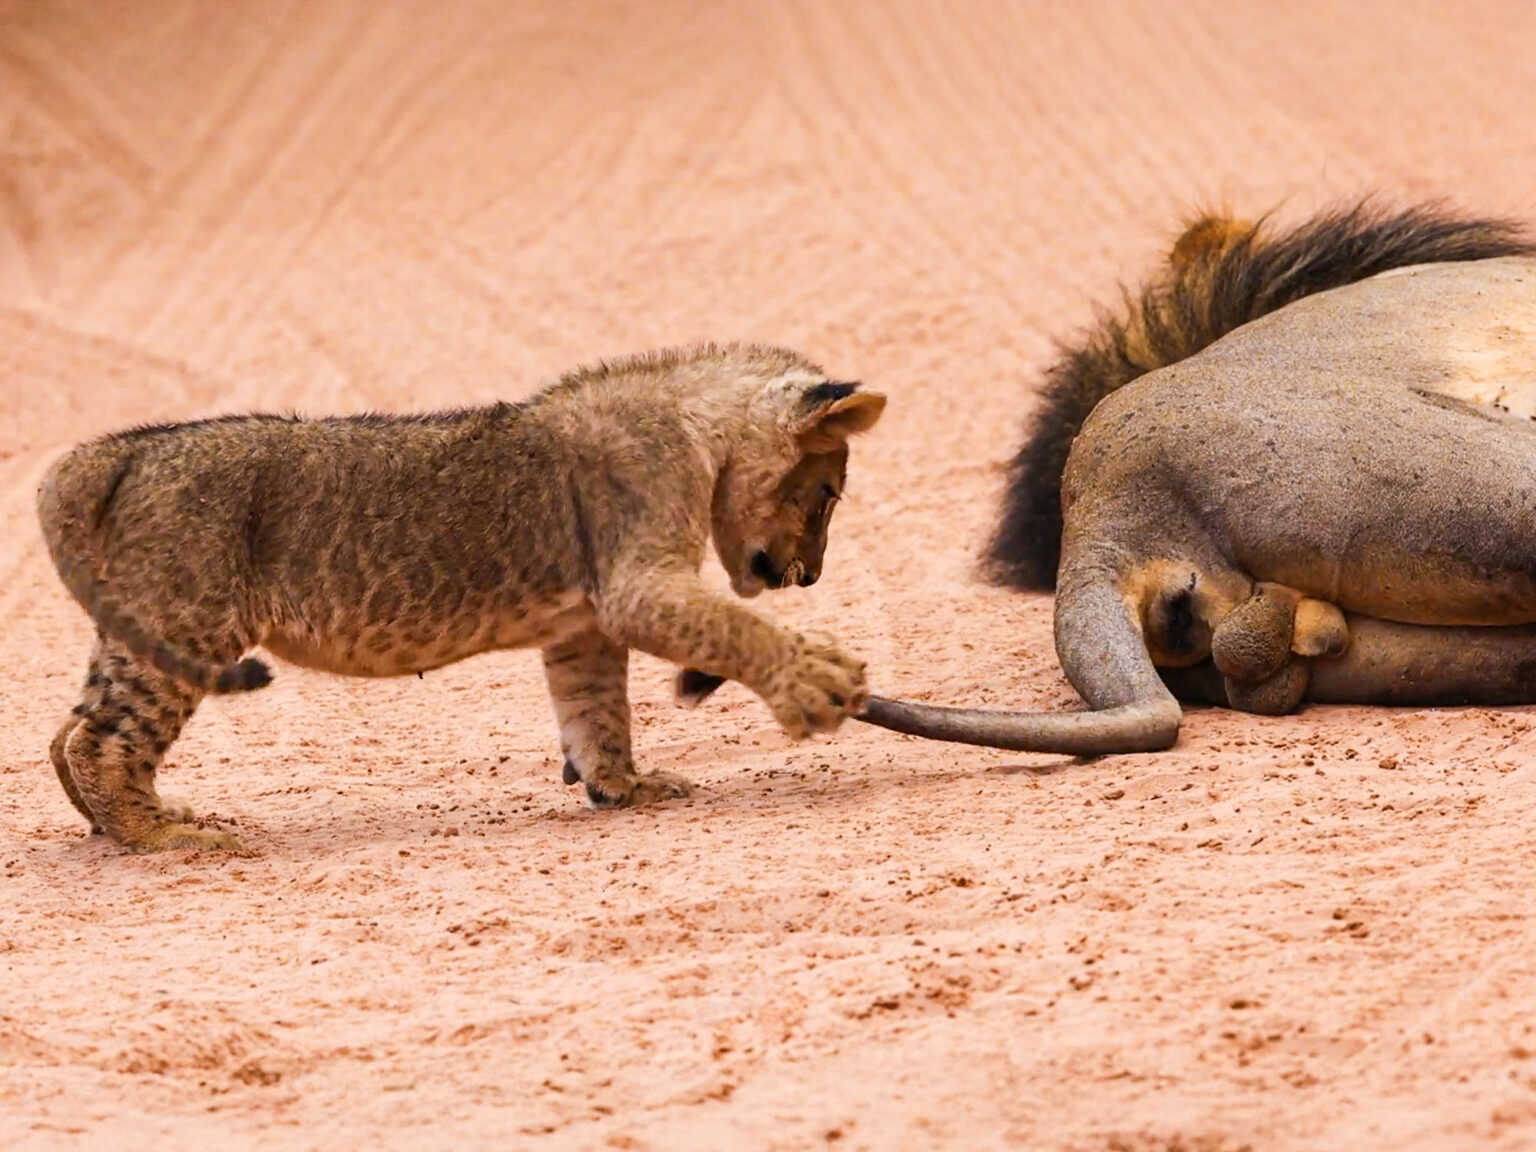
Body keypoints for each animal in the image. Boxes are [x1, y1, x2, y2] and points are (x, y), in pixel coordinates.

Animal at [37, 342, 885, 852]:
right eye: (826, 494)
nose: (808, 575)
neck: (698, 425)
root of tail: (116, 450)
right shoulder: (636, 585)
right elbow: (738, 629)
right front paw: (821, 684)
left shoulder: (585, 623)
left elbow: (596, 710)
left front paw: (626, 787)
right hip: (189, 620)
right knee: (100, 742)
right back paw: (167, 839)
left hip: (142, 624)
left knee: (69, 733)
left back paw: (118, 825)